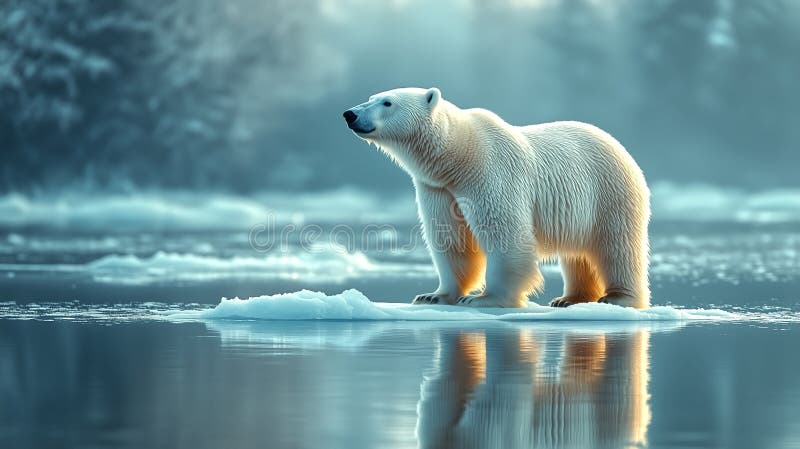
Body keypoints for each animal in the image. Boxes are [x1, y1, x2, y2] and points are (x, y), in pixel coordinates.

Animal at [343, 87, 650, 309]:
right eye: (370, 98)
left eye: (387, 102)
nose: (350, 114)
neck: (461, 156)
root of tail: (620, 147)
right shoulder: (438, 188)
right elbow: (451, 239)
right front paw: (433, 295)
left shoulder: (492, 173)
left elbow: (504, 234)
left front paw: (484, 298)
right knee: (577, 253)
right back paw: (569, 299)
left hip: (609, 191)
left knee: (616, 245)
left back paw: (617, 297)